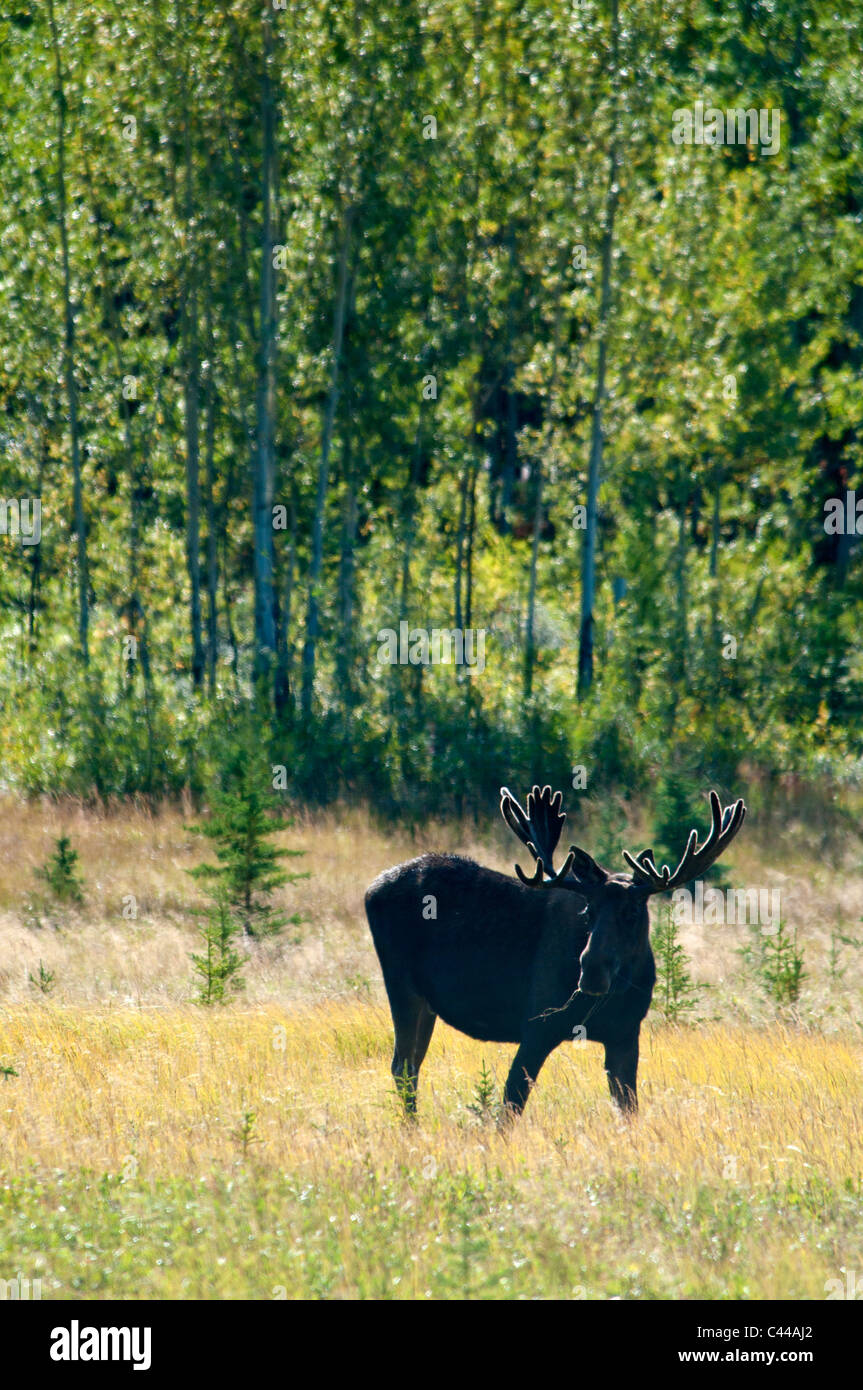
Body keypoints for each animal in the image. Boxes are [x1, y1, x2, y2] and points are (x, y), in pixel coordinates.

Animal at [365, 784, 745, 1118]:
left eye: (632, 911)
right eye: (588, 911)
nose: (591, 971)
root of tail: (372, 889)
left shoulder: (625, 1034)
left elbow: (628, 1109)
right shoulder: (537, 1026)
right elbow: (510, 1106)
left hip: (425, 1001)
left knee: (412, 1065)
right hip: (401, 985)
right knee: (403, 1065)